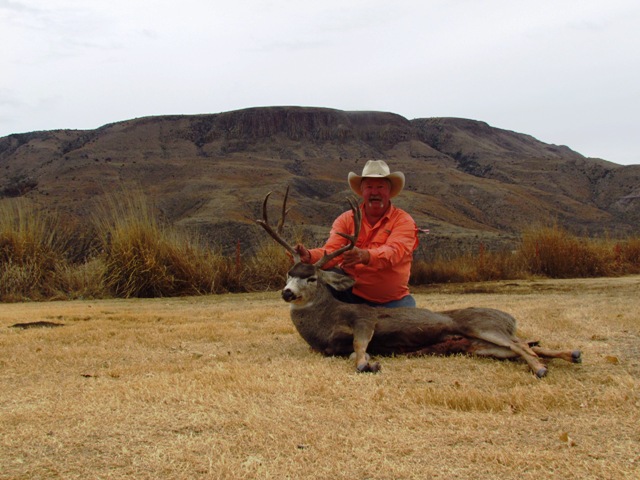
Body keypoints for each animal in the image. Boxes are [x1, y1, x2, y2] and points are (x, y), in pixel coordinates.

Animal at [256, 189, 582, 378]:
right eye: (288, 274)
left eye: (311, 277)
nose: (286, 293)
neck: (324, 323)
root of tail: (510, 317)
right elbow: (353, 350)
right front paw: (372, 361)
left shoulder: (365, 318)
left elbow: (359, 346)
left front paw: (367, 364)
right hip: (480, 346)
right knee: (528, 345)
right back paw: (571, 354)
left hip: (483, 325)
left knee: (522, 345)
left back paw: (541, 368)